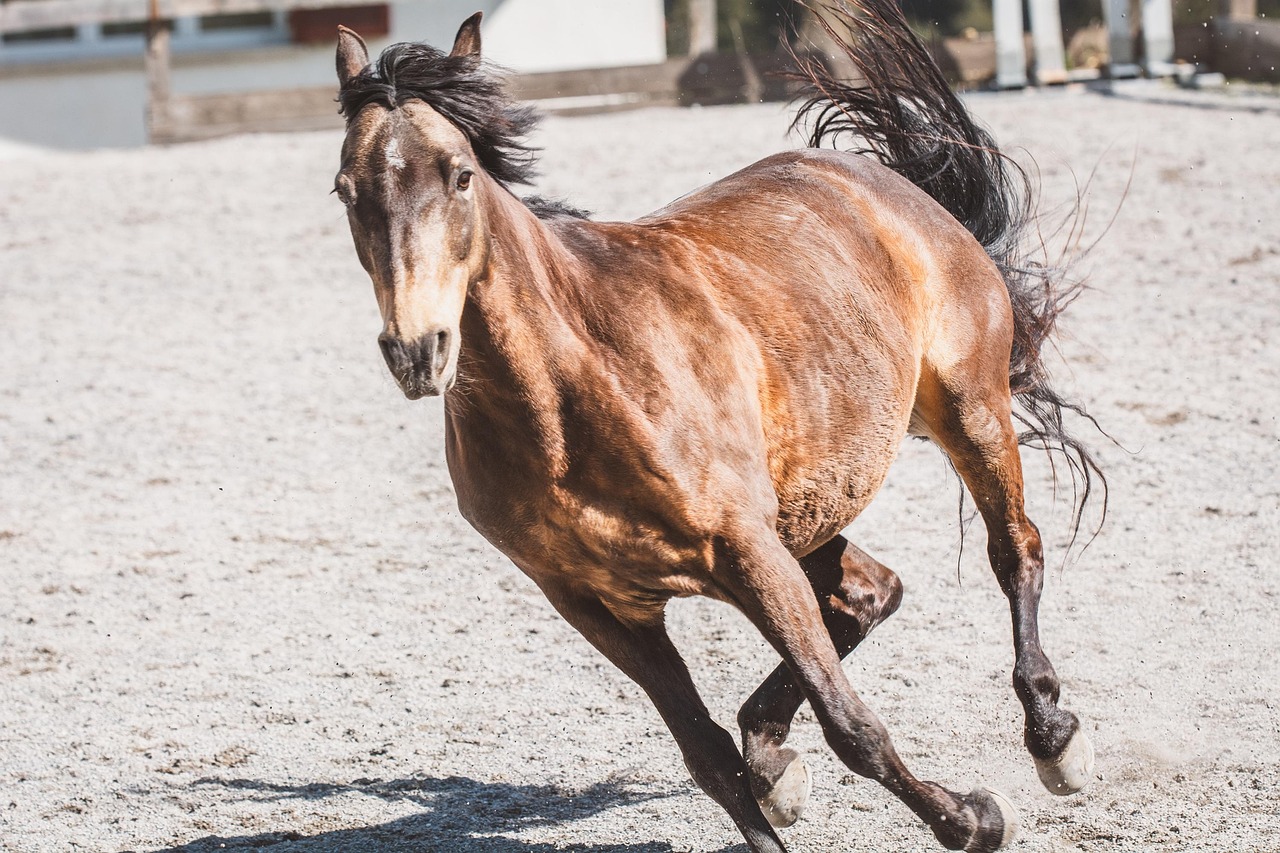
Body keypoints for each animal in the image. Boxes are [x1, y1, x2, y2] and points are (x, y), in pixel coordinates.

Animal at [331, 2, 1102, 850]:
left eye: (460, 174)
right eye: (346, 190)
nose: (418, 350)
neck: (574, 396)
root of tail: (880, 181)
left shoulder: (745, 549)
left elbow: (853, 727)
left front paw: (973, 818)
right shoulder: (598, 602)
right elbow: (708, 759)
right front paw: (773, 783)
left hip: (967, 410)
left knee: (1014, 549)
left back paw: (1054, 737)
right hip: (805, 510)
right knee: (869, 593)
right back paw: (777, 759)